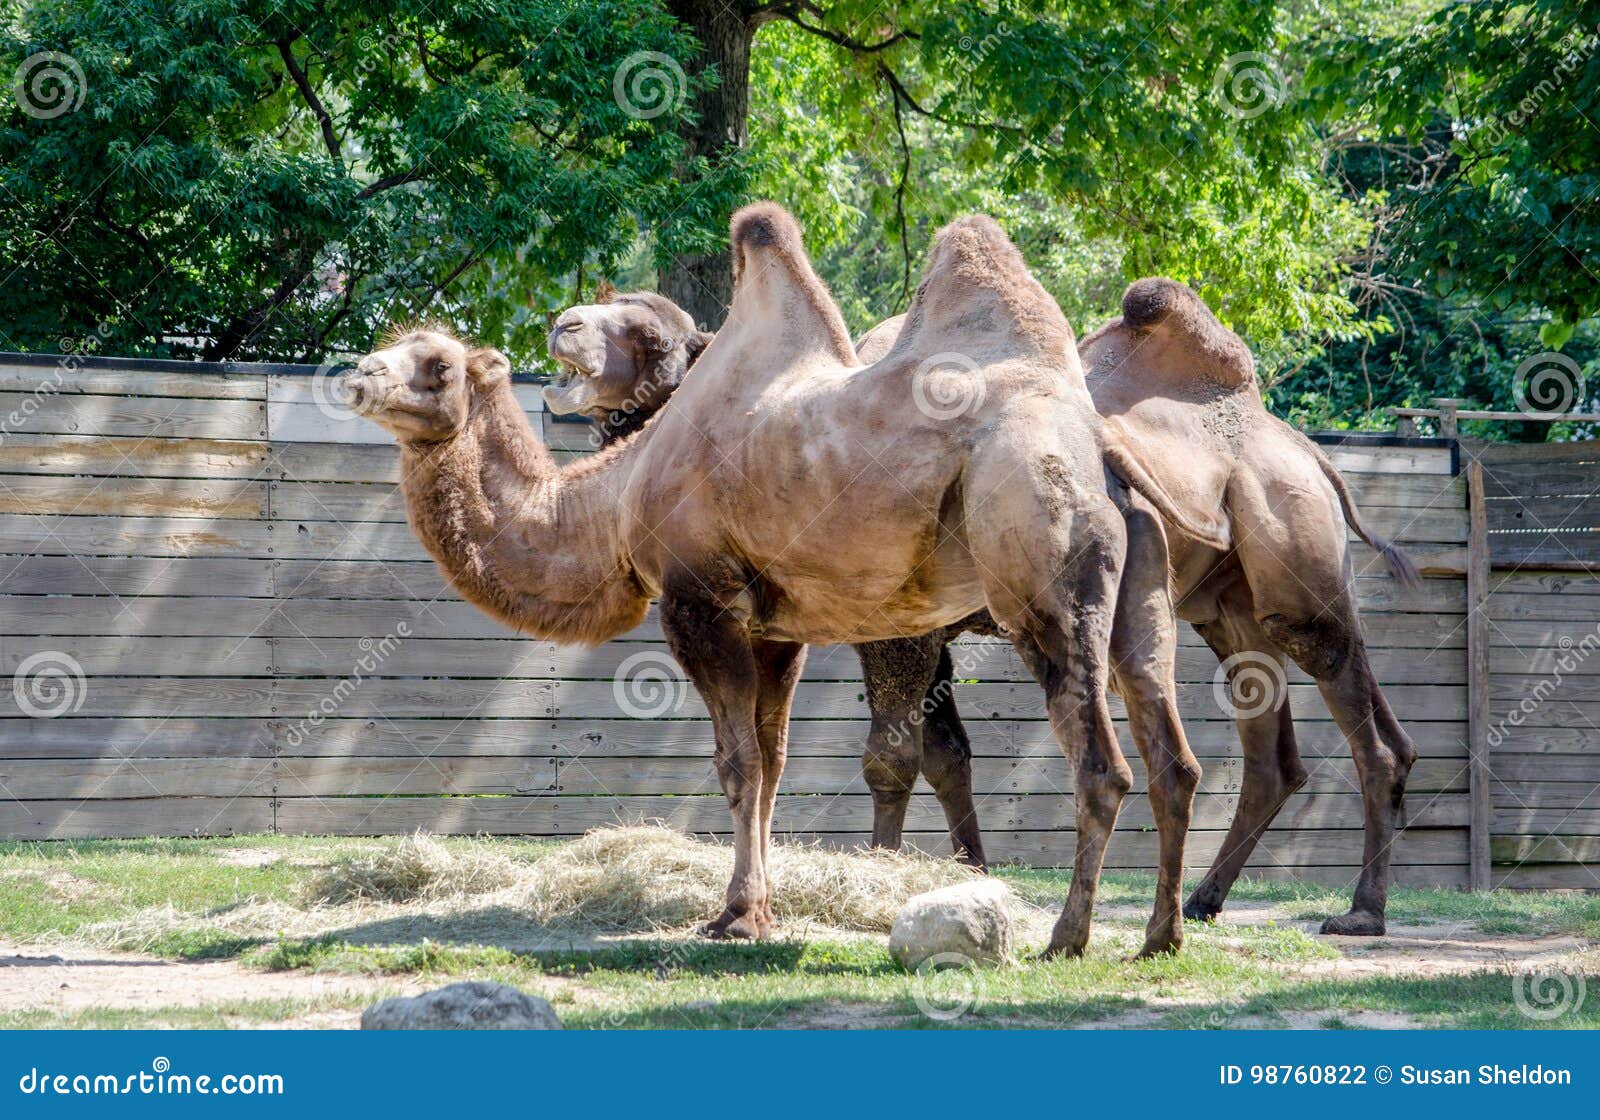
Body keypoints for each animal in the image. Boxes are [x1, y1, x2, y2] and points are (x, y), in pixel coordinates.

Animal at [345, 202, 1229, 956]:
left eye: (435, 364)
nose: (357, 373)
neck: (619, 492)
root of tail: (1095, 439)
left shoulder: (699, 603)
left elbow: (738, 765)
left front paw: (736, 917)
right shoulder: (778, 632)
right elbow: (771, 766)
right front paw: (757, 907)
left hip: (1038, 563)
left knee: (1101, 763)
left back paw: (1066, 939)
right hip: (1139, 591)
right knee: (1173, 757)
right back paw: (1162, 935)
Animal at [546, 280, 1420, 937]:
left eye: (652, 338)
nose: (564, 325)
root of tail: (1308, 451)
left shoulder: (901, 627)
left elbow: (893, 756)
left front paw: (882, 874)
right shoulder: (921, 626)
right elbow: (947, 756)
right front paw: (968, 875)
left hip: (1298, 576)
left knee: (1371, 730)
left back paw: (1361, 911)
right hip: (1224, 606)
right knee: (1273, 749)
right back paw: (1202, 903)